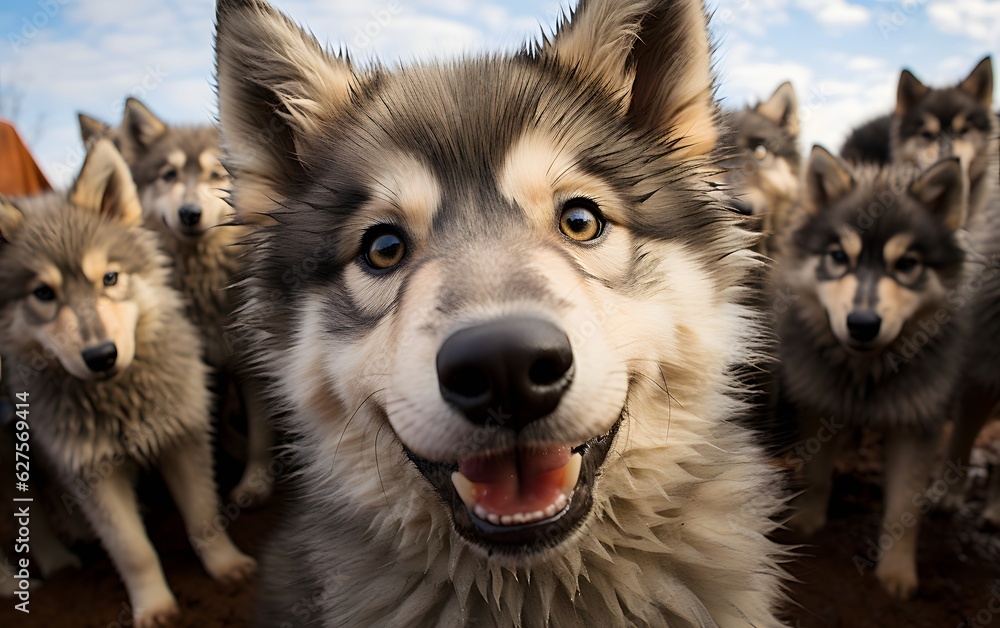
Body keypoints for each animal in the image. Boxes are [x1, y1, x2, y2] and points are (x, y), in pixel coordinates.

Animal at [0, 139, 256, 626]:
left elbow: (203, 517)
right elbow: (133, 550)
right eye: (43, 294)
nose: (101, 356)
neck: (119, 399)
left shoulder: (182, 435)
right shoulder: (89, 469)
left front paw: (227, 567)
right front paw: (154, 606)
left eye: (110, 278)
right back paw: (53, 561)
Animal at [79, 99, 276, 506]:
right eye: (169, 175)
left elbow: (259, 432)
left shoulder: (248, 360)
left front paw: (255, 480)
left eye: (216, 173)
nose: (190, 213)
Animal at [778, 146, 968, 598]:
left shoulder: (917, 426)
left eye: (907, 264)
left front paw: (897, 571)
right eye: (838, 258)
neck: (866, 373)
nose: (862, 324)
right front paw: (807, 520)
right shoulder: (817, 405)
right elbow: (816, 475)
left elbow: (904, 507)